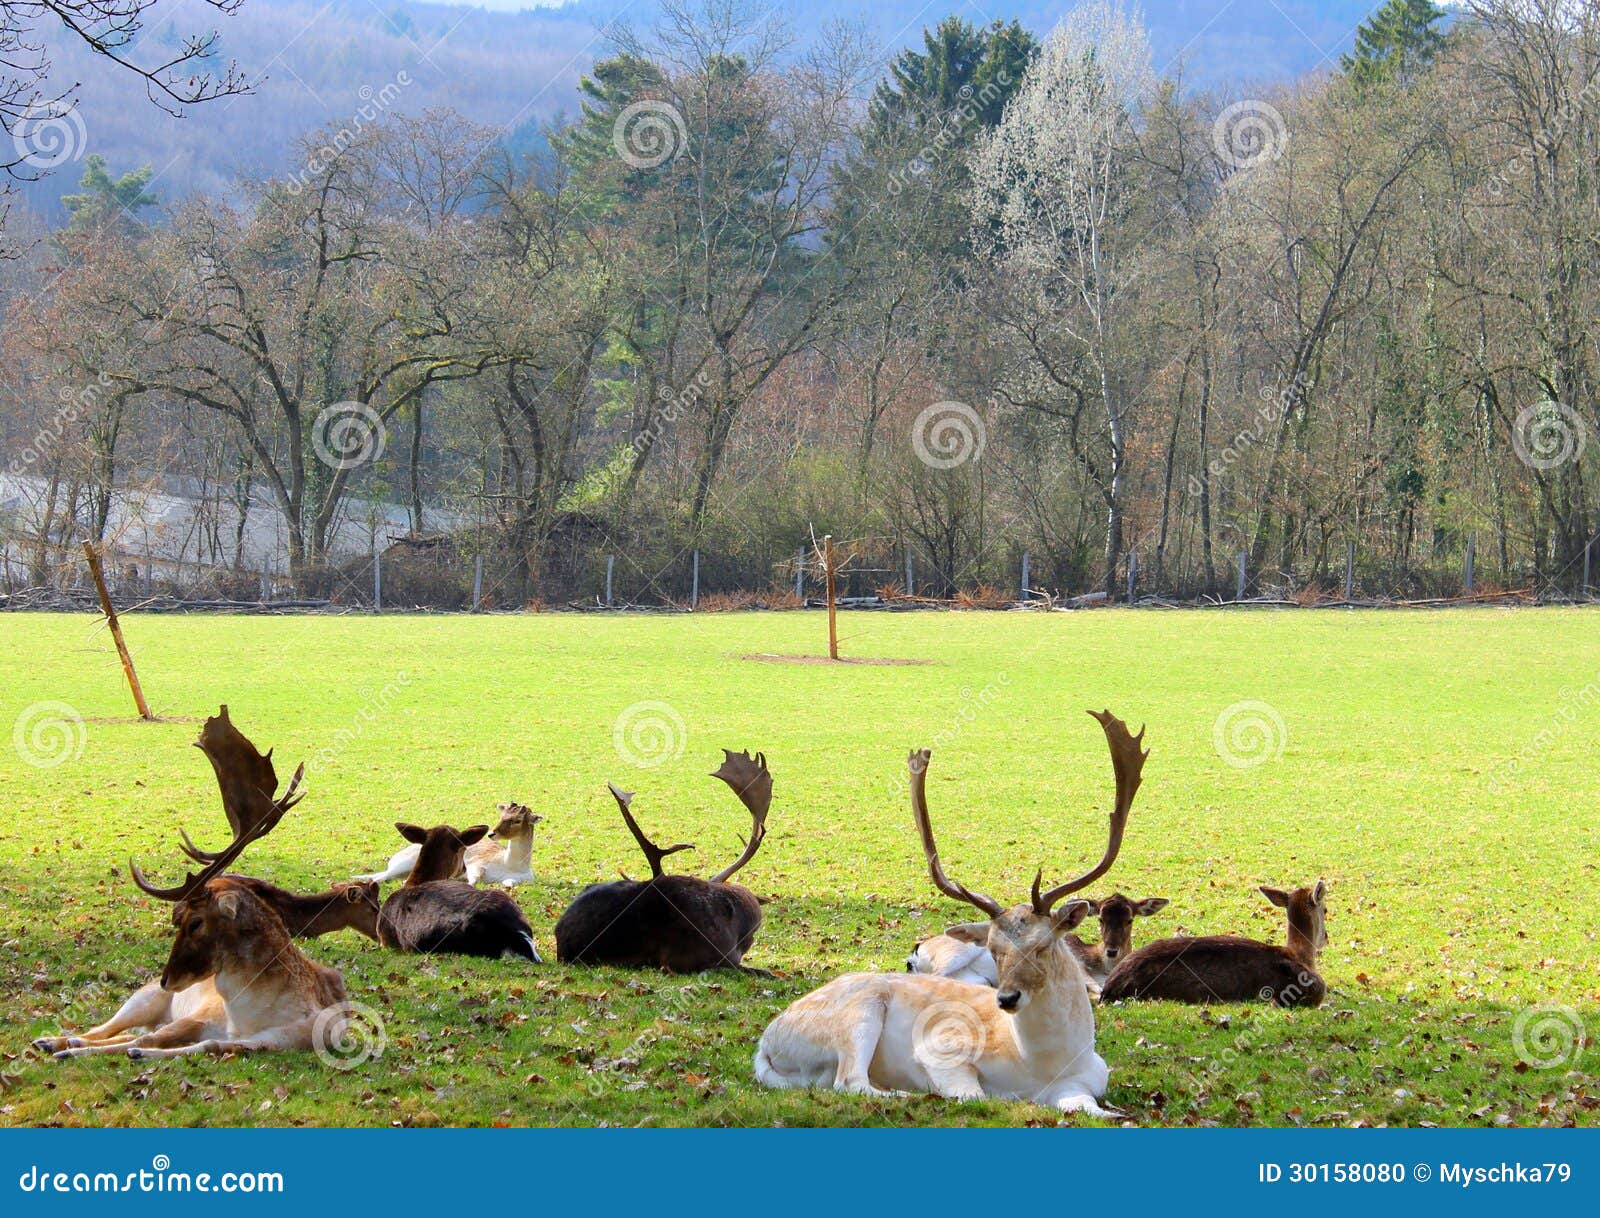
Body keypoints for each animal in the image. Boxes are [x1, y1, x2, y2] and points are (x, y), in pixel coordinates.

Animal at [35, 710, 352, 1060]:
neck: (247, 1018)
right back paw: (54, 1041)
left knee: (131, 1034)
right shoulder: (200, 1015)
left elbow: (196, 1045)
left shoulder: (275, 1040)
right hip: (140, 999)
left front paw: (133, 1053)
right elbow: (153, 1038)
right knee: (106, 1029)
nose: (166, 979)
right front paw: (72, 1051)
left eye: (195, 922)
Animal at [355, 802, 543, 888]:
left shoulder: (525, 878)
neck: (509, 864)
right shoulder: (476, 863)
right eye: (501, 816)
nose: (492, 833)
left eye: (517, 820)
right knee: (380, 876)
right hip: (403, 863)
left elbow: (508, 883)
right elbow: (473, 880)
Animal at [907, 892, 1169, 991]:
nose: (1112, 951)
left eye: (1130, 919)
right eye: (1101, 919)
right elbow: (1096, 988)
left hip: (976, 978)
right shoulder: (1080, 967)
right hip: (954, 953)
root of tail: (917, 950)